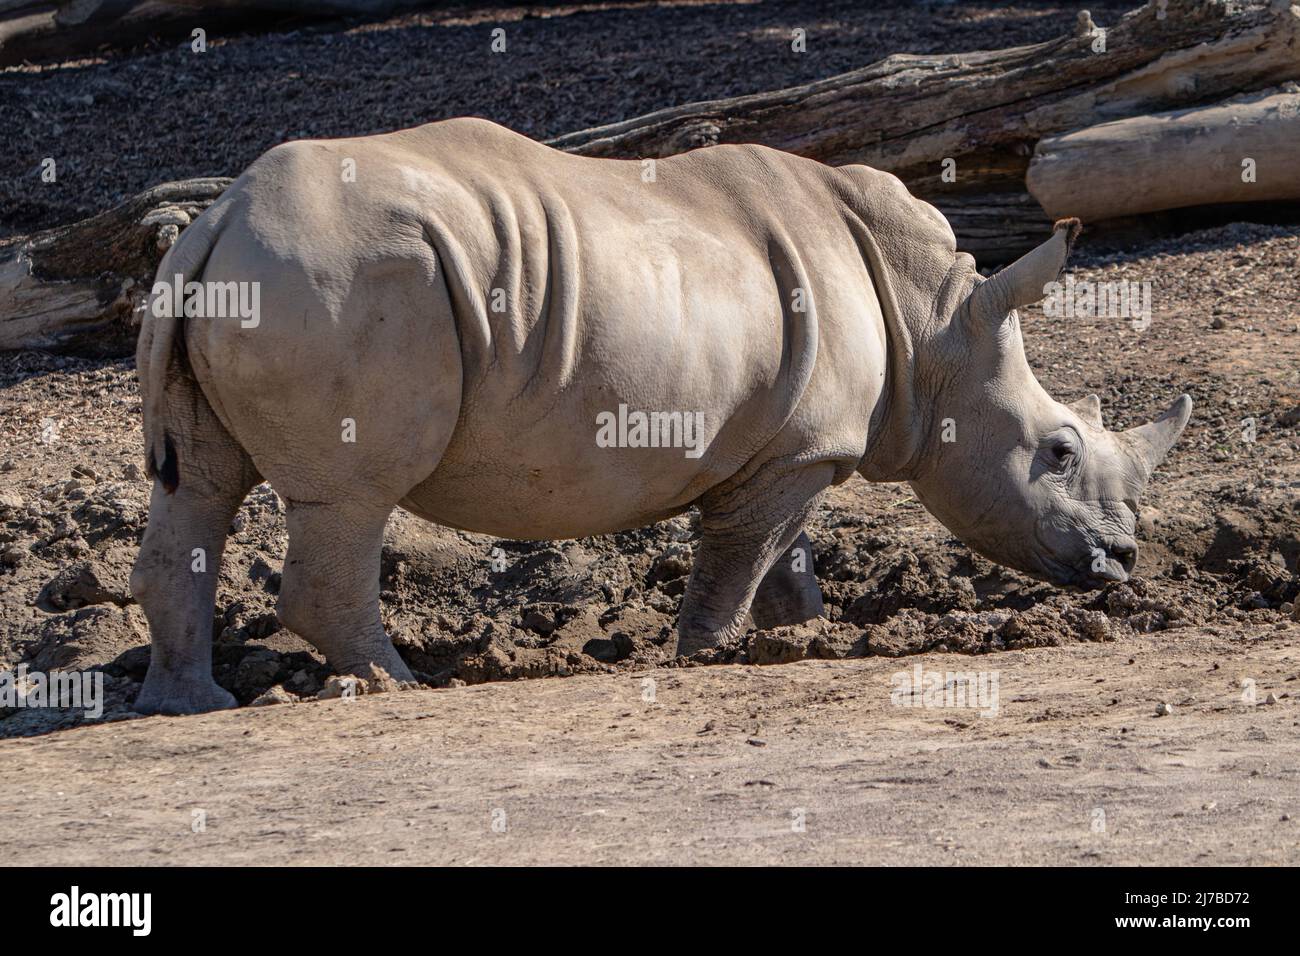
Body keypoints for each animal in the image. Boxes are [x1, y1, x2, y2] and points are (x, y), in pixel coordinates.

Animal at [131, 118, 1191, 715]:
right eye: (1058, 451)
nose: (1123, 559)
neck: (937, 327)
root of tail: (216, 220)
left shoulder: (797, 448)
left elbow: (784, 556)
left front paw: (799, 640)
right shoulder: (797, 453)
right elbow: (739, 556)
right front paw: (706, 656)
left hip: (254, 277)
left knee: (201, 485)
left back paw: (187, 702)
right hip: (341, 281)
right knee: (350, 497)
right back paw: (400, 684)